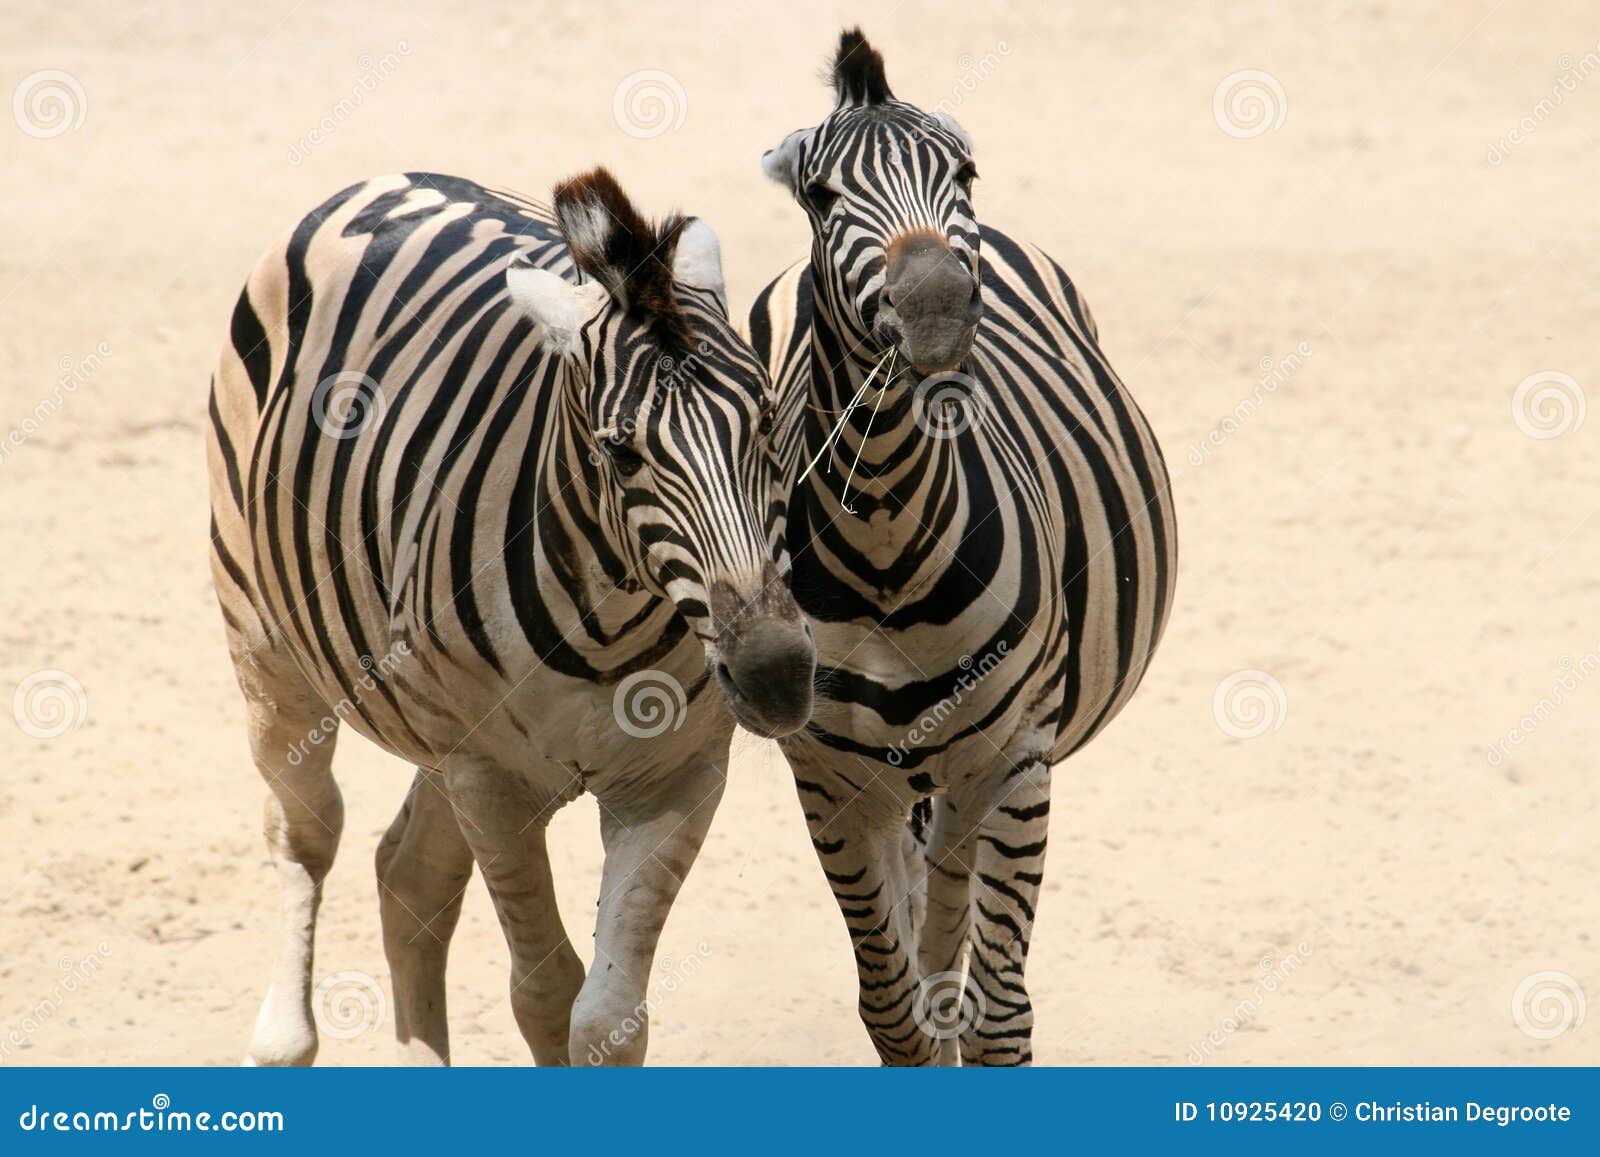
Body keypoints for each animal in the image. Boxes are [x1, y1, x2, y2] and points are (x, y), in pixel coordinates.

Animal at [207, 168, 815, 1066]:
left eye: (770, 419)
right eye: (620, 451)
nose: (775, 674)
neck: (616, 627)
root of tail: (390, 177)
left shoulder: (677, 778)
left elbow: (608, 1016)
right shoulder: (490, 781)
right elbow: (546, 993)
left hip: (430, 726)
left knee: (407, 872)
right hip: (271, 658)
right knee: (303, 835)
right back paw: (285, 1036)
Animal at [747, 30, 1177, 1064]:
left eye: (964, 175)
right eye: (821, 195)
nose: (939, 304)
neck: (887, 532)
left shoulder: (1014, 759)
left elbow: (997, 1012)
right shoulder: (829, 778)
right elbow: (896, 1009)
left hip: (971, 771)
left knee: (951, 919)